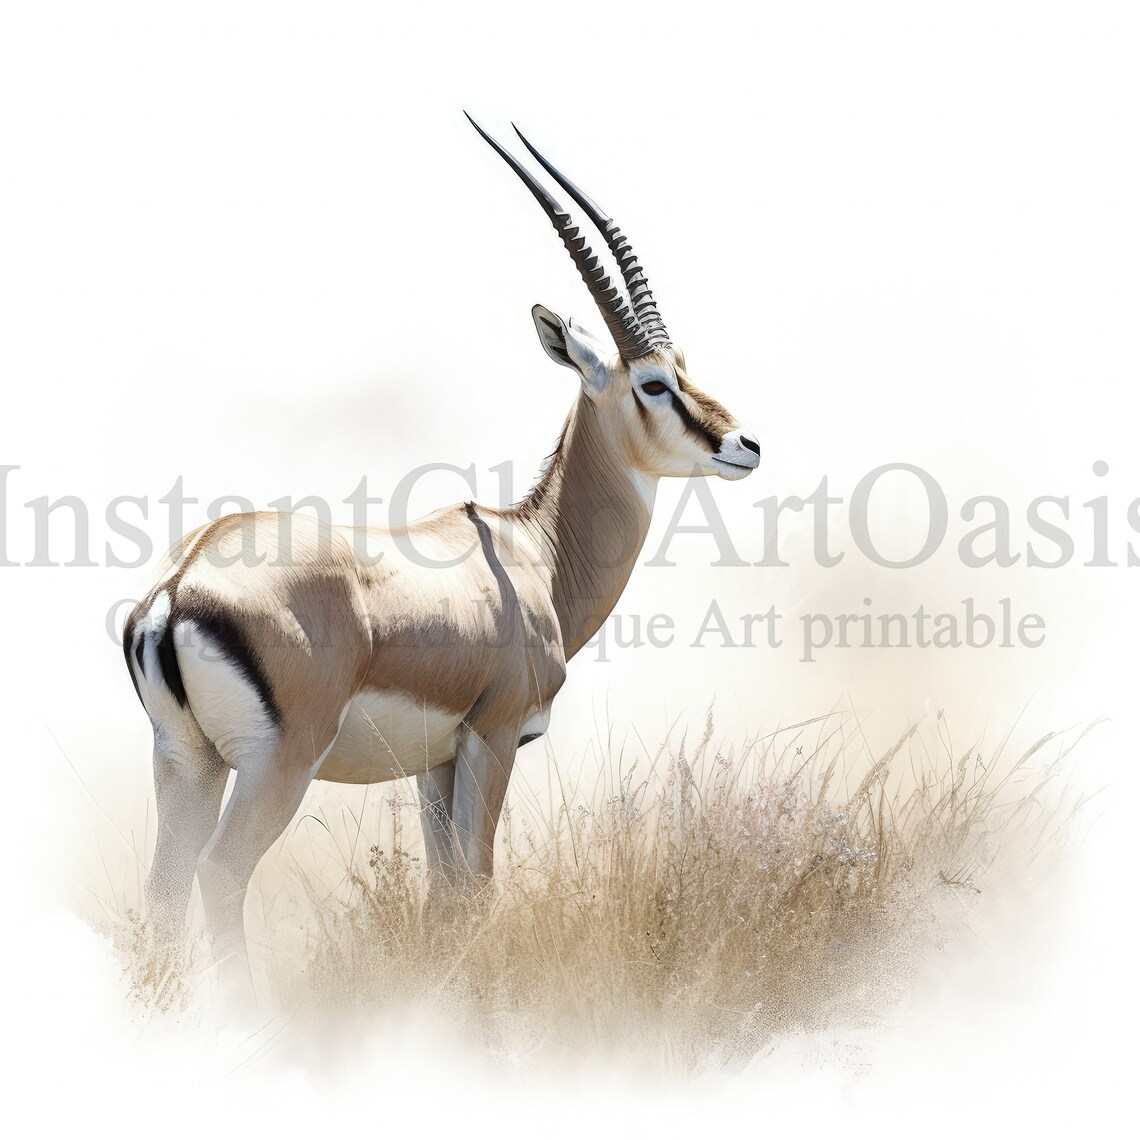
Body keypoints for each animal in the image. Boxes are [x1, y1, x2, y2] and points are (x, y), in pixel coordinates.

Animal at [123, 116, 761, 987]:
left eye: (685, 369)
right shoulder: (495, 740)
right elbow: (476, 890)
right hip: (273, 768)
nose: (745, 445)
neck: (534, 551)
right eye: (653, 384)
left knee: (161, 893)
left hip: (186, 762)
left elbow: (442, 892)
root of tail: (178, 587)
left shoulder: (436, 761)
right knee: (220, 874)